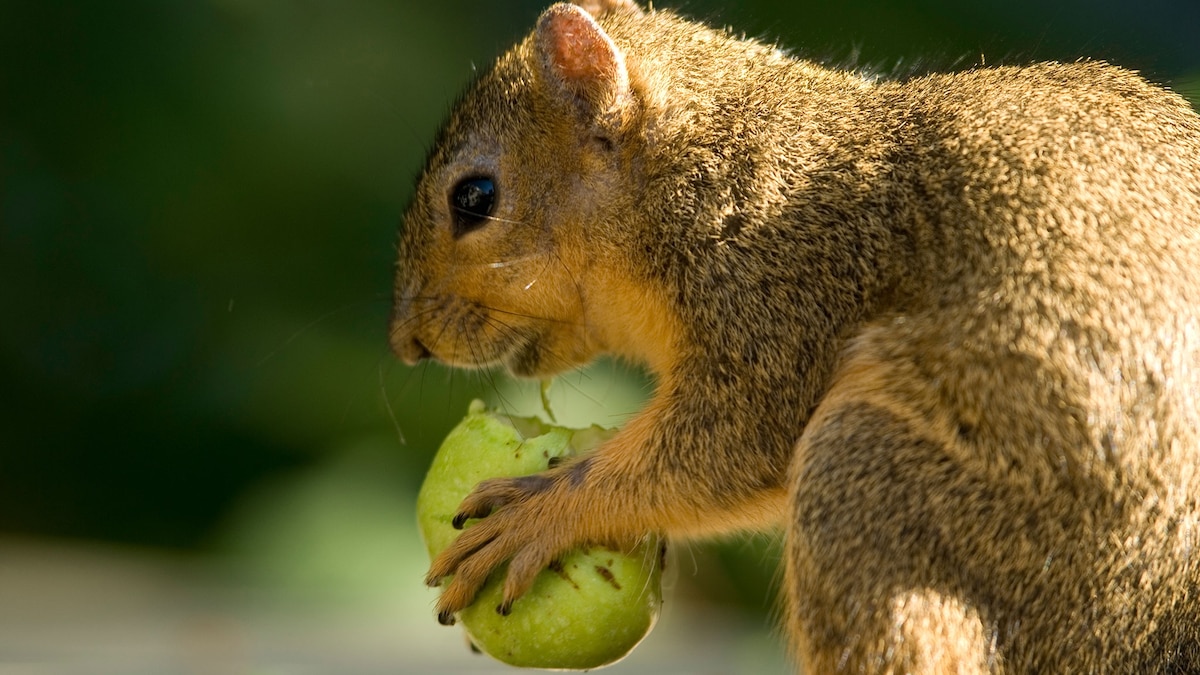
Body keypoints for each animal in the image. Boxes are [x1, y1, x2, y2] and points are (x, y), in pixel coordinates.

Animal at [390, 0, 1200, 671]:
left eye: (475, 197)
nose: (405, 343)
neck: (707, 166)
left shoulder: (783, 297)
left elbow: (729, 448)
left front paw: (543, 509)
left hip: (882, 487)